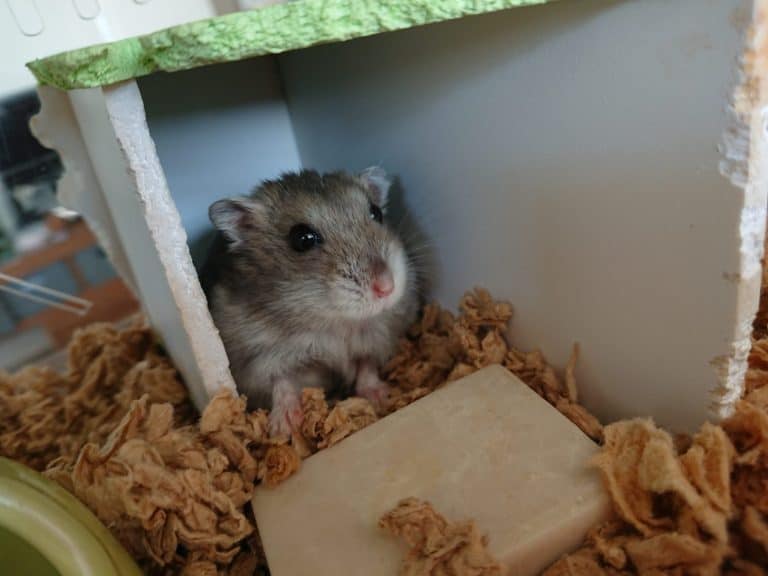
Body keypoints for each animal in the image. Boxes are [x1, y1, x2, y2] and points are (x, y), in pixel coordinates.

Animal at [201, 168, 421, 436]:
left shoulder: (379, 339)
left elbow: (366, 365)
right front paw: (284, 427)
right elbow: (279, 381)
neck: (334, 323)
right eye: (302, 239)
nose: (387, 287)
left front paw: (381, 396)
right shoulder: (255, 359)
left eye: (376, 212)